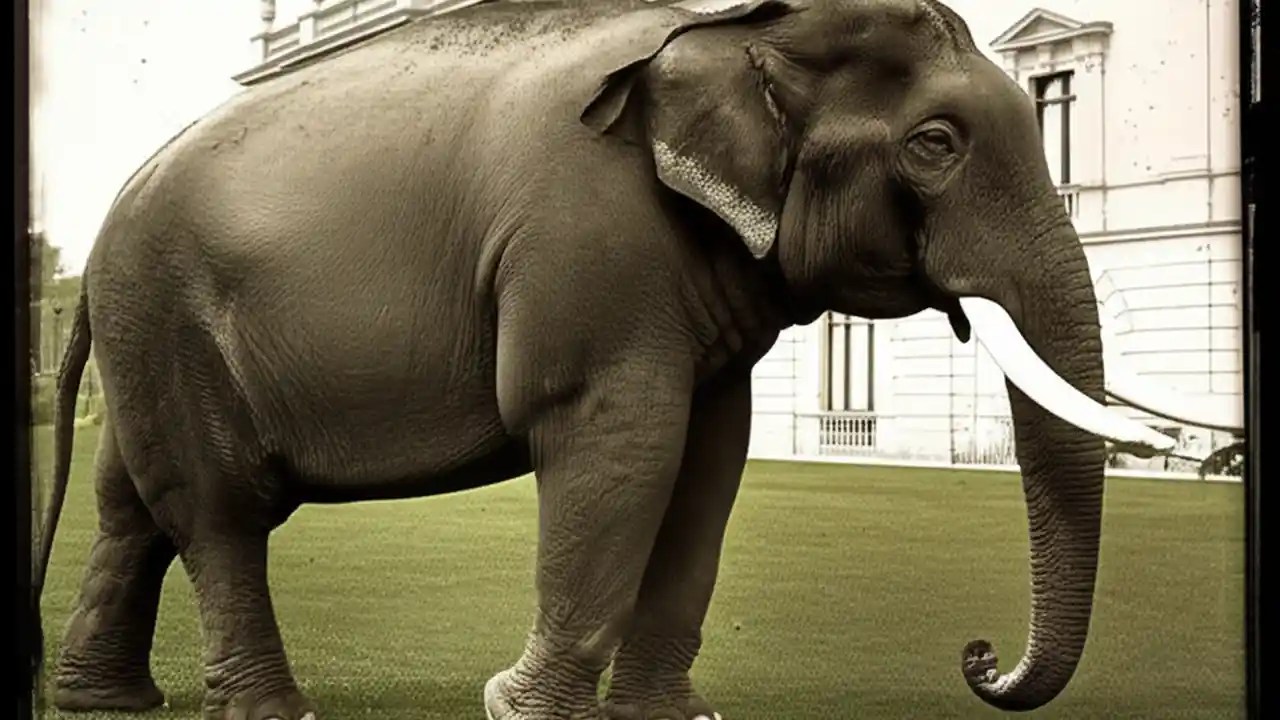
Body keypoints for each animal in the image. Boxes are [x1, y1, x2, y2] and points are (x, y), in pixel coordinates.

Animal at [34, 0, 1182, 718]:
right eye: (934, 143)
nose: (978, 658)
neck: (742, 27)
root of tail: (104, 223)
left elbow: (709, 460)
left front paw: (669, 717)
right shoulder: (586, 237)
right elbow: (618, 438)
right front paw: (521, 710)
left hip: (153, 333)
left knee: (132, 506)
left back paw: (104, 700)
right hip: (168, 310)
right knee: (220, 511)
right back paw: (277, 711)